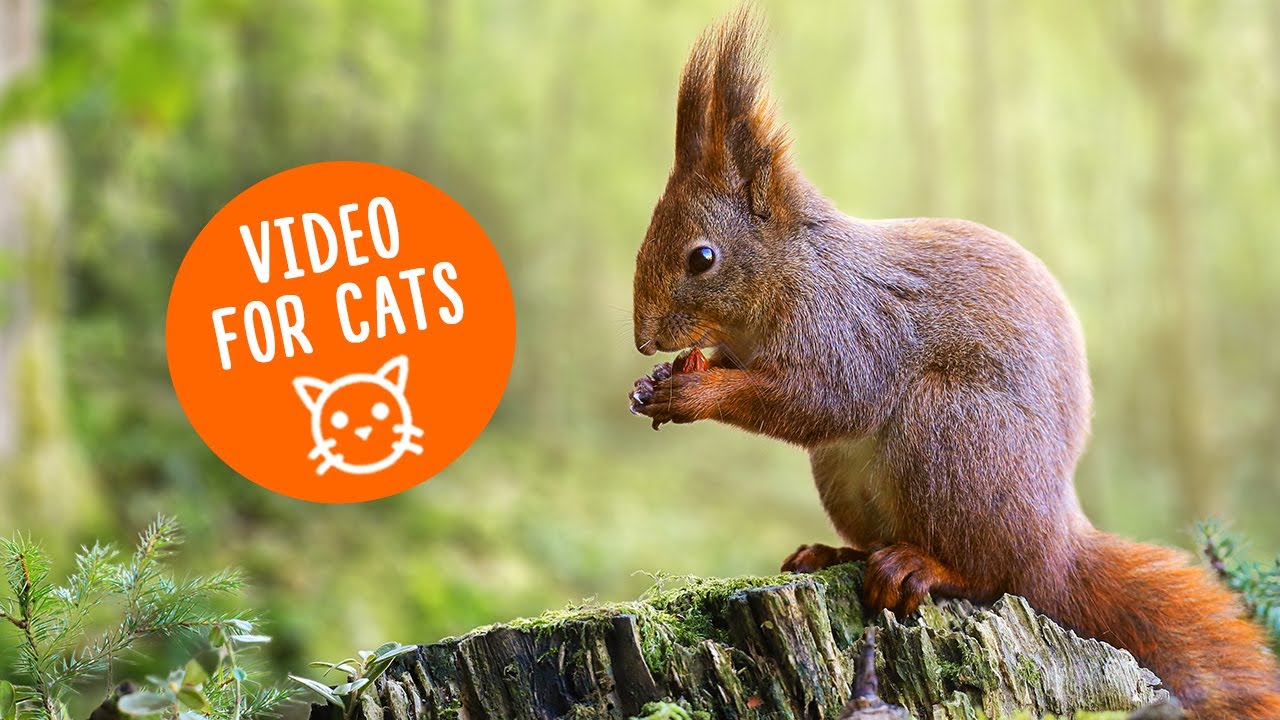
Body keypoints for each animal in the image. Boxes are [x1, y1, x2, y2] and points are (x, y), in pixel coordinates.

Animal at [627, 9, 1280, 719]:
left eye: (702, 258)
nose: (642, 340)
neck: (785, 277)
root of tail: (1055, 544)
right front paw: (657, 382)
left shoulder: (851, 329)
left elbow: (823, 399)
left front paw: (694, 395)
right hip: (851, 473)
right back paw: (832, 552)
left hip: (950, 436)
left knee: (993, 575)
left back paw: (922, 567)